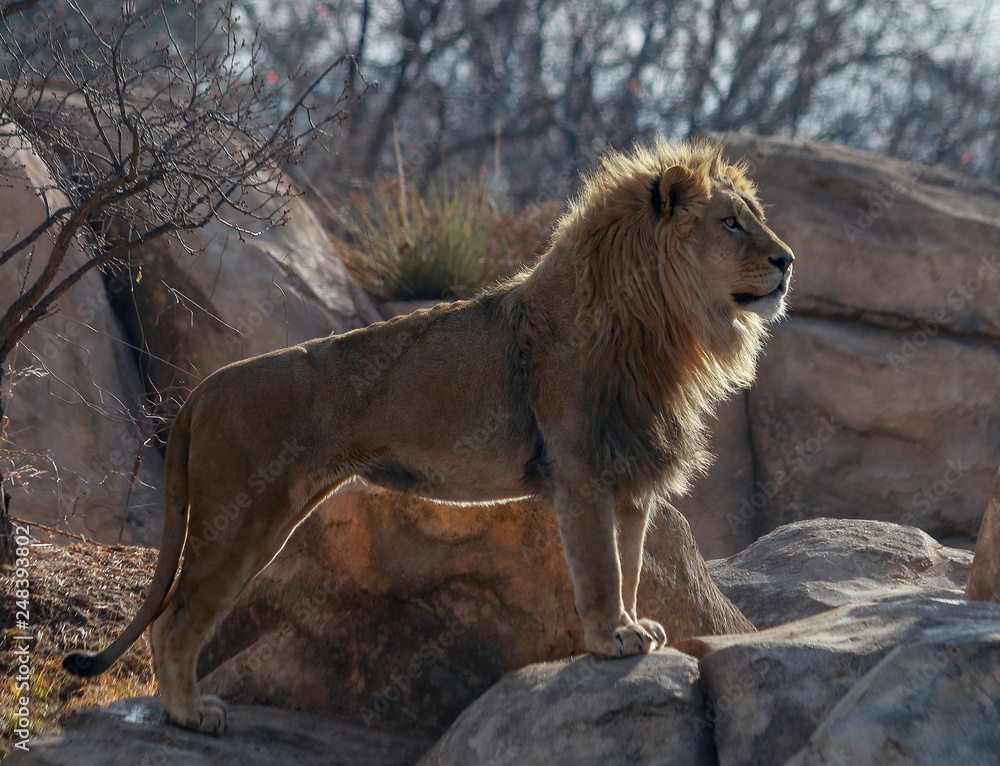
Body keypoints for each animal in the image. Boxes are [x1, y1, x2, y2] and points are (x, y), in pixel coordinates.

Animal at [63, 139, 793, 734]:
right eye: (732, 223)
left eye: (754, 215)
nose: (787, 260)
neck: (663, 329)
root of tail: (205, 389)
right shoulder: (582, 470)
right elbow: (600, 568)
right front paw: (611, 637)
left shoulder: (631, 477)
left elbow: (633, 562)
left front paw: (636, 626)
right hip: (239, 516)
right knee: (176, 619)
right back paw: (188, 715)